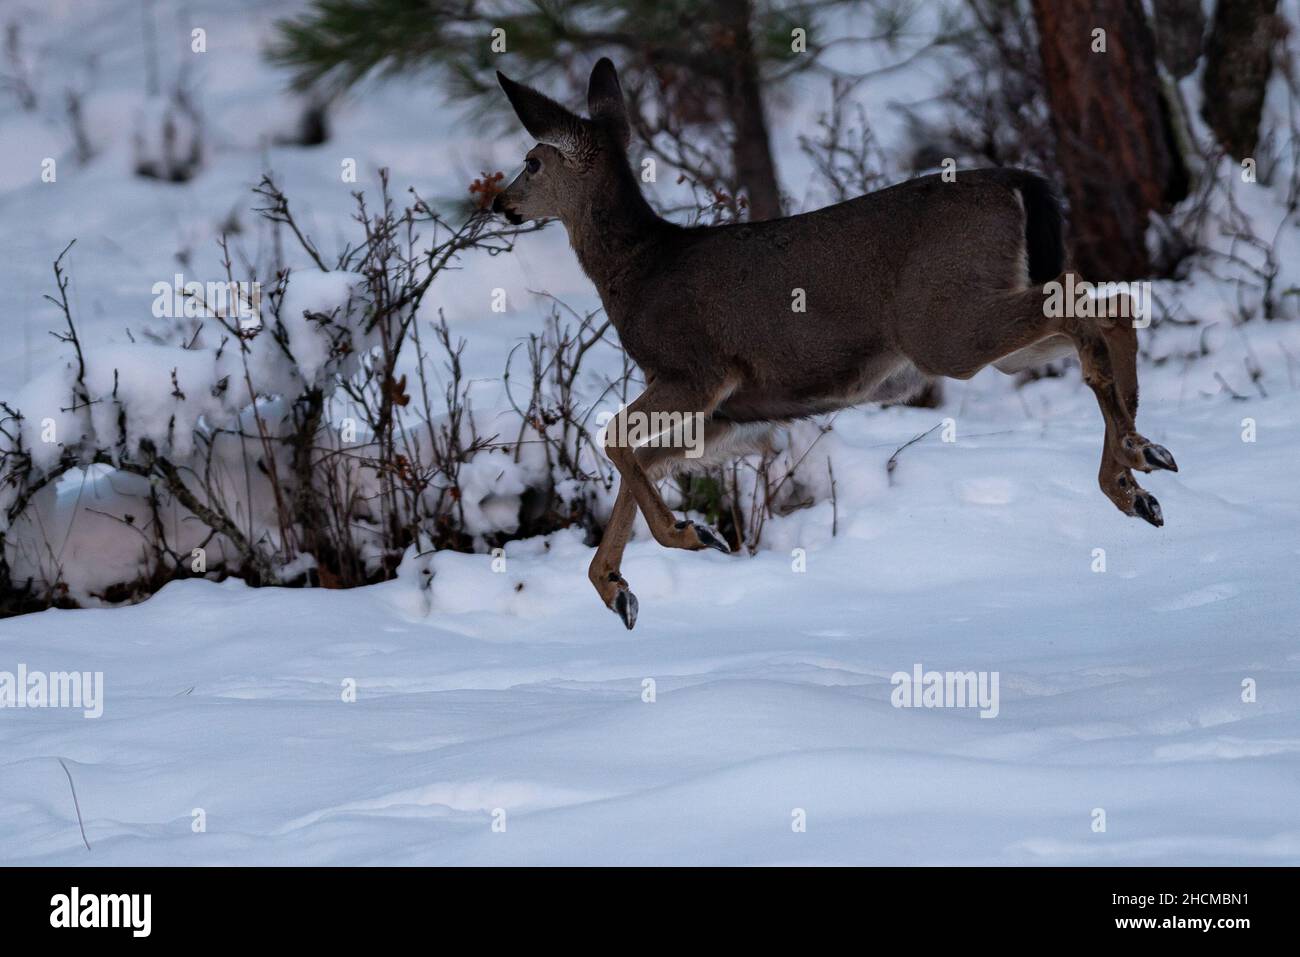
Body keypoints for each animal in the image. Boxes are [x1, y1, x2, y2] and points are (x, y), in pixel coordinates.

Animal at [493, 58, 1178, 630]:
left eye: (532, 160)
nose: (500, 202)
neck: (637, 269)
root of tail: (1019, 180)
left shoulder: (697, 369)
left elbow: (612, 436)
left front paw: (689, 537)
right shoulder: (727, 414)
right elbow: (644, 458)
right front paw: (617, 588)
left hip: (942, 326)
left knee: (1088, 311)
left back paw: (1132, 463)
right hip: (992, 322)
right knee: (1111, 305)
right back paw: (1139, 473)